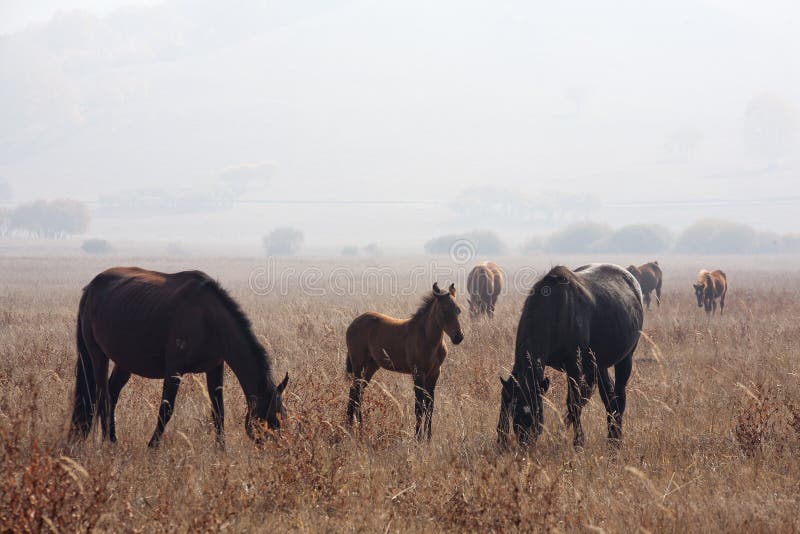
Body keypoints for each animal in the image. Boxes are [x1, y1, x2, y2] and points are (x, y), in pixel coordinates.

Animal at [69, 267, 289, 447]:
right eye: (272, 420)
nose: (281, 449)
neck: (208, 318)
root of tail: (89, 289)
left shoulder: (215, 368)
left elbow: (219, 411)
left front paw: (221, 450)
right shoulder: (173, 371)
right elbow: (166, 410)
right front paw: (152, 447)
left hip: (124, 362)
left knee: (112, 393)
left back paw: (113, 440)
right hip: (98, 355)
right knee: (103, 396)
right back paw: (107, 442)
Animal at [345, 282, 464, 440]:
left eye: (458, 310)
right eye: (444, 311)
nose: (458, 337)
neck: (427, 338)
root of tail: (352, 324)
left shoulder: (434, 373)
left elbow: (430, 406)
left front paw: (428, 438)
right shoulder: (418, 373)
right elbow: (419, 407)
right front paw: (418, 438)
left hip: (371, 367)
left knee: (358, 392)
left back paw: (356, 427)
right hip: (358, 365)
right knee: (354, 392)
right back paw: (352, 427)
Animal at [497, 264, 643, 448]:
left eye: (537, 414)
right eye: (515, 414)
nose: (525, 442)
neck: (554, 309)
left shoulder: (574, 366)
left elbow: (574, 403)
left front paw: (578, 442)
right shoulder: (520, 366)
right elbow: (505, 393)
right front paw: (500, 439)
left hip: (625, 360)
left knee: (618, 398)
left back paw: (615, 440)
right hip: (599, 365)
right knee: (609, 399)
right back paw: (611, 437)